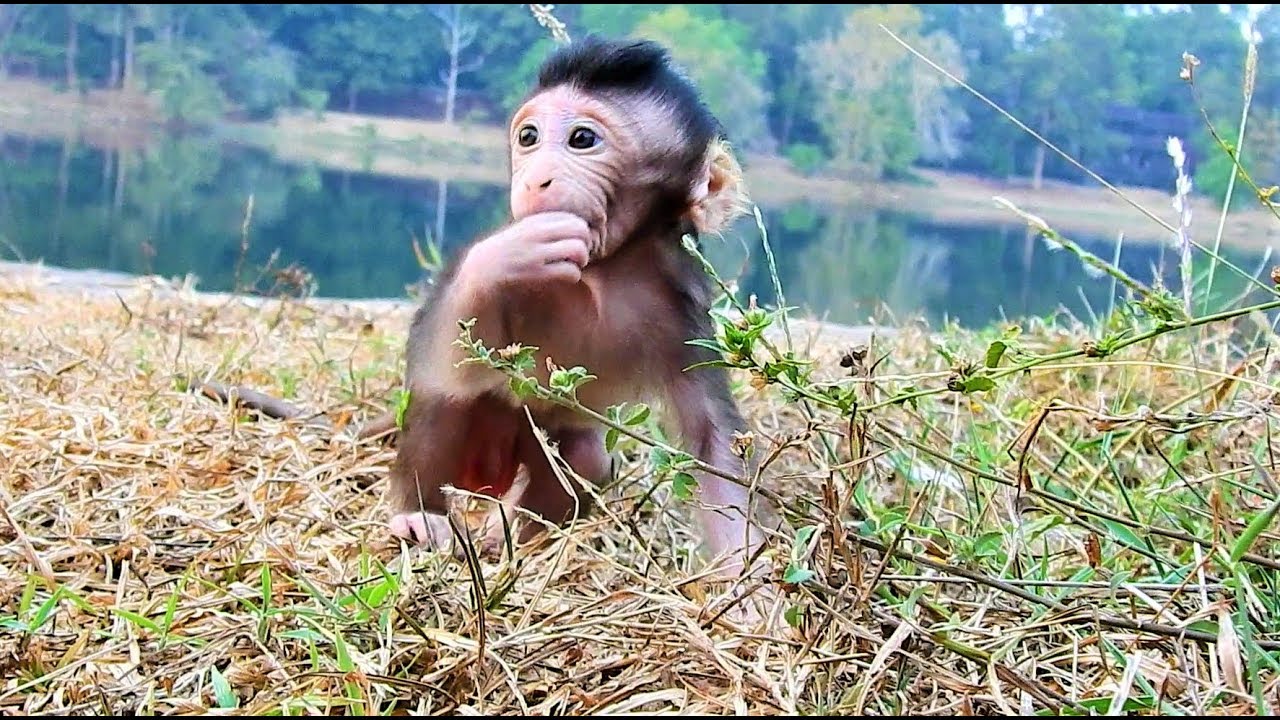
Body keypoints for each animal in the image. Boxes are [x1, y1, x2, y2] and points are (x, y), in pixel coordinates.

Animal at [388, 35, 777, 581]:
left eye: (582, 140)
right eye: (529, 137)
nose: (536, 180)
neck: (603, 272)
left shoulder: (686, 313)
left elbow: (712, 443)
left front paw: (750, 585)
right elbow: (442, 355)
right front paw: (503, 256)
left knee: (588, 457)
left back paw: (511, 539)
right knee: (447, 395)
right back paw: (420, 517)